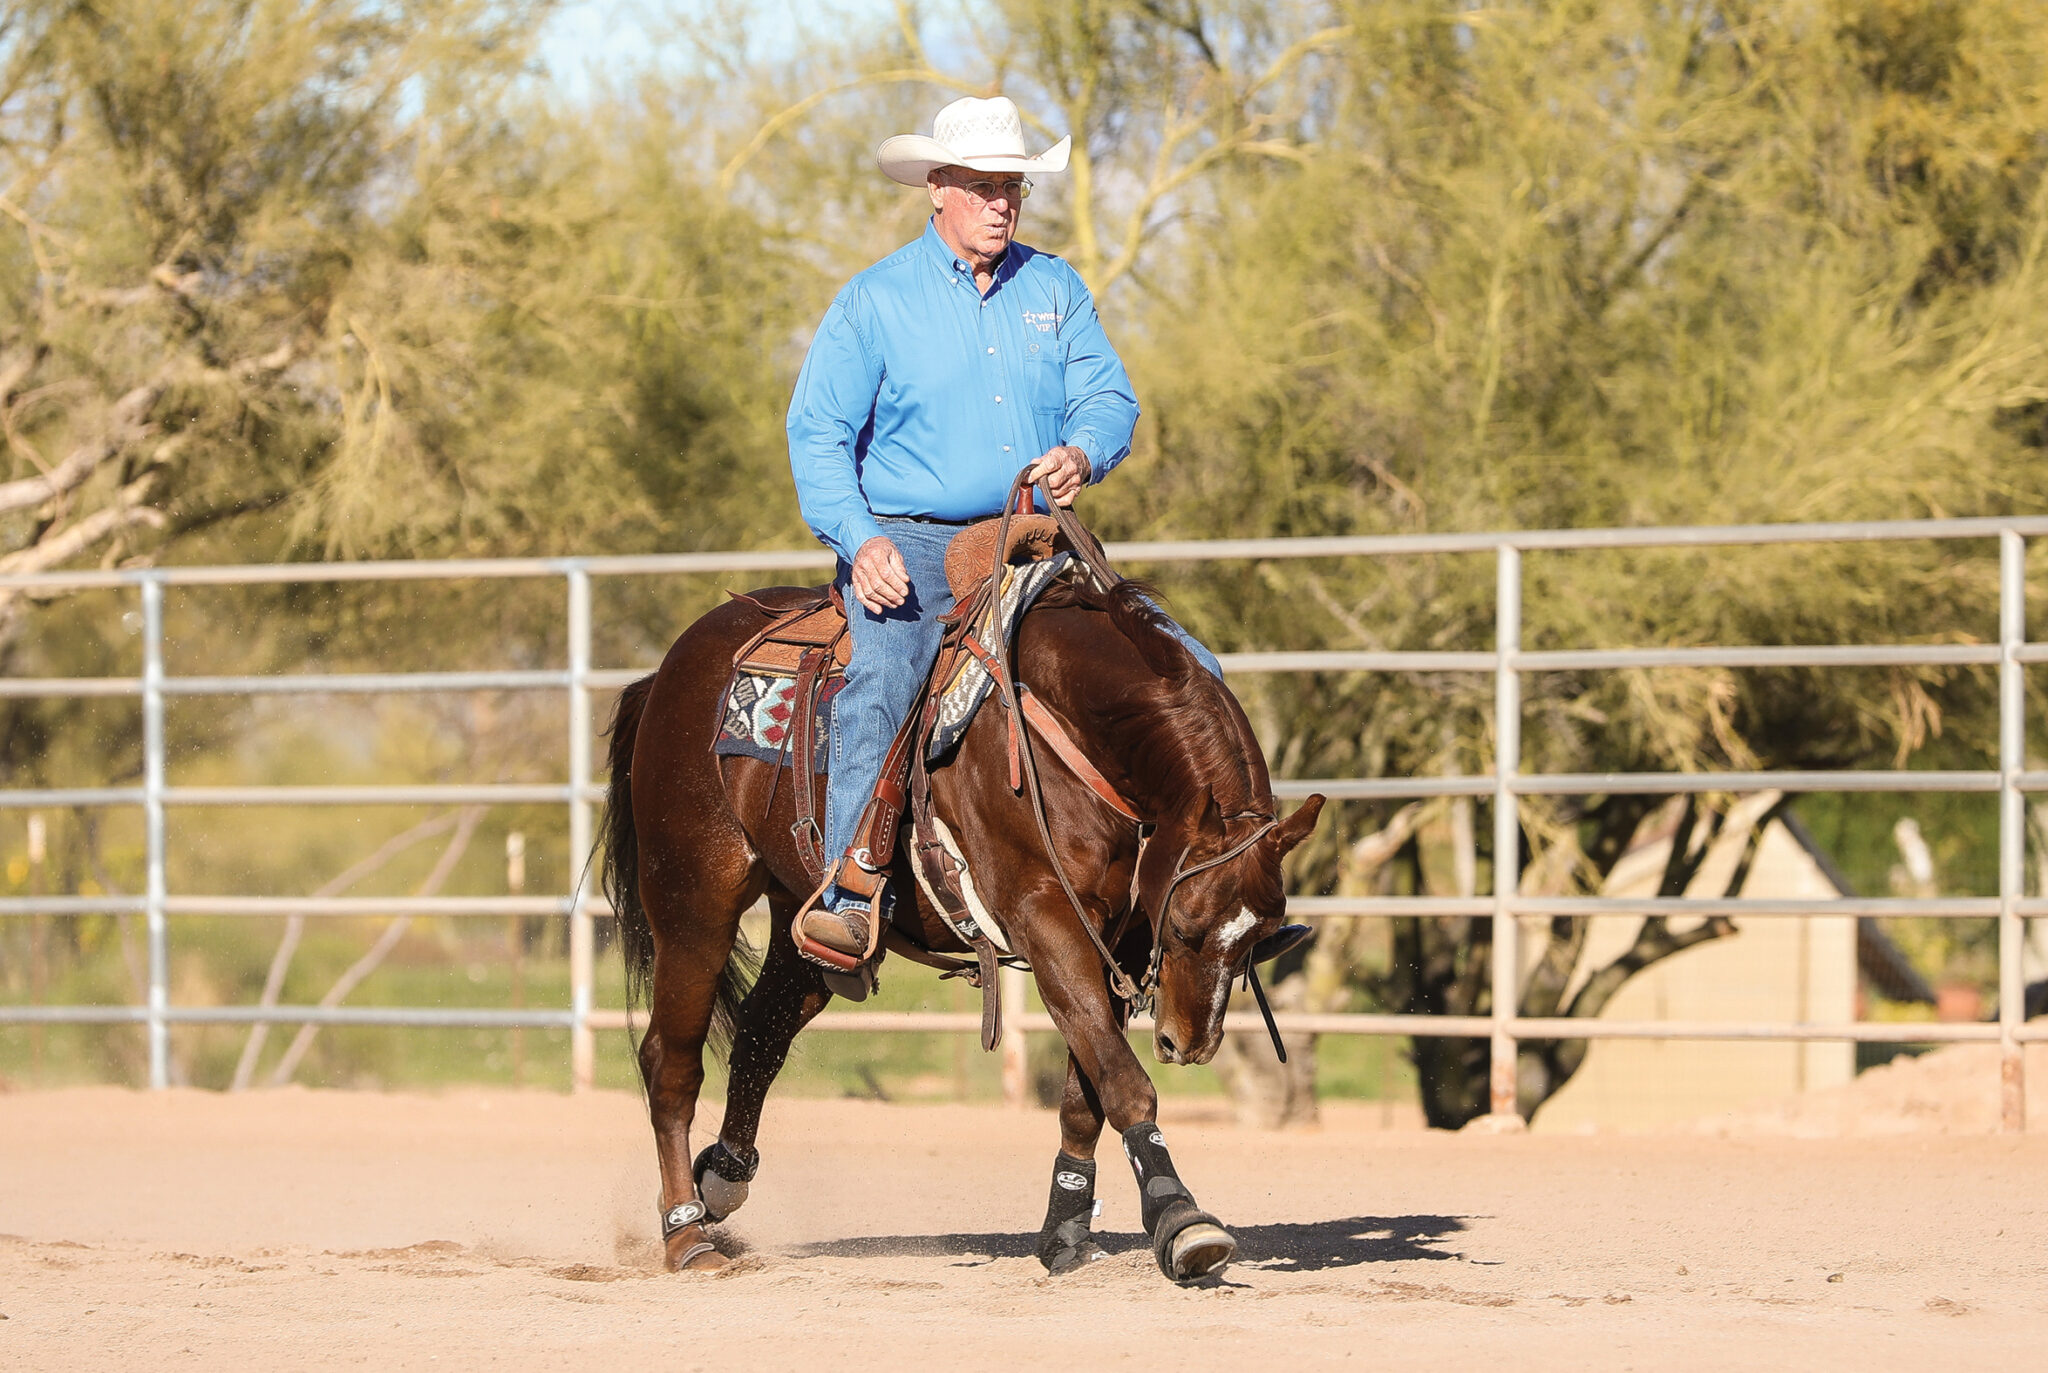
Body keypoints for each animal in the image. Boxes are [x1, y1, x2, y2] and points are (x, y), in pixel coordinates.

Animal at [601, 554, 1326, 1284]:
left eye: (1257, 938)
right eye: (1185, 928)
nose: (1189, 1042)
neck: (1068, 729)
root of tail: (667, 673)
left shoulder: (1115, 939)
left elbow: (1084, 1091)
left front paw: (1065, 1232)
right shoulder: (1045, 917)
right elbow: (1123, 1082)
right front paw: (1182, 1220)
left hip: (801, 923)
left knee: (759, 1031)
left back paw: (720, 1180)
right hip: (694, 901)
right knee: (670, 1060)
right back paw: (686, 1234)